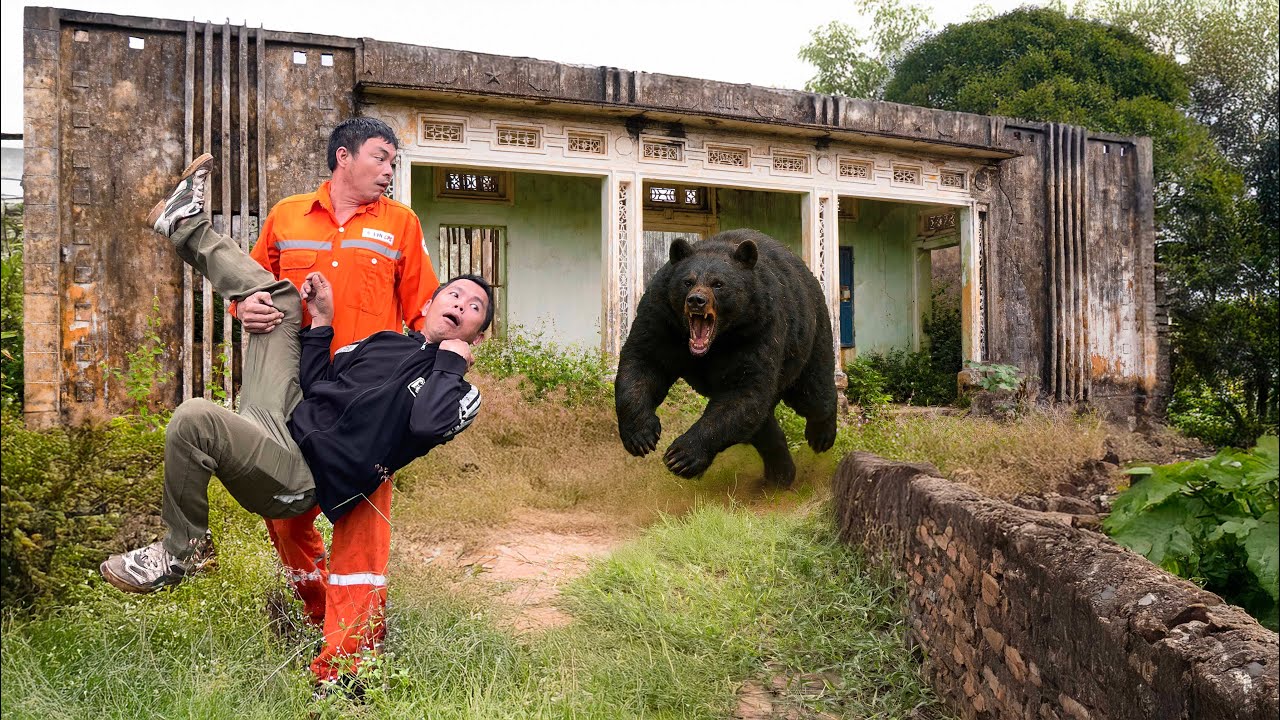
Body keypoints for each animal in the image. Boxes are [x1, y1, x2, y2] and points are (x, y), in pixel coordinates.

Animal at [615, 228, 838, 486]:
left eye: (718, 284)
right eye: (688, 281)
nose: (696, 300)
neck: (717, 341)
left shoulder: (757, 330)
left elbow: (743, 391)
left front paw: (681, 455)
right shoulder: (663, 319)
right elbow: (643, 363)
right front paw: (641, 436)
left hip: (808, 337)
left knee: (813, 393)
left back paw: (821, 437)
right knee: (763, 424)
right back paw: (780, 472)